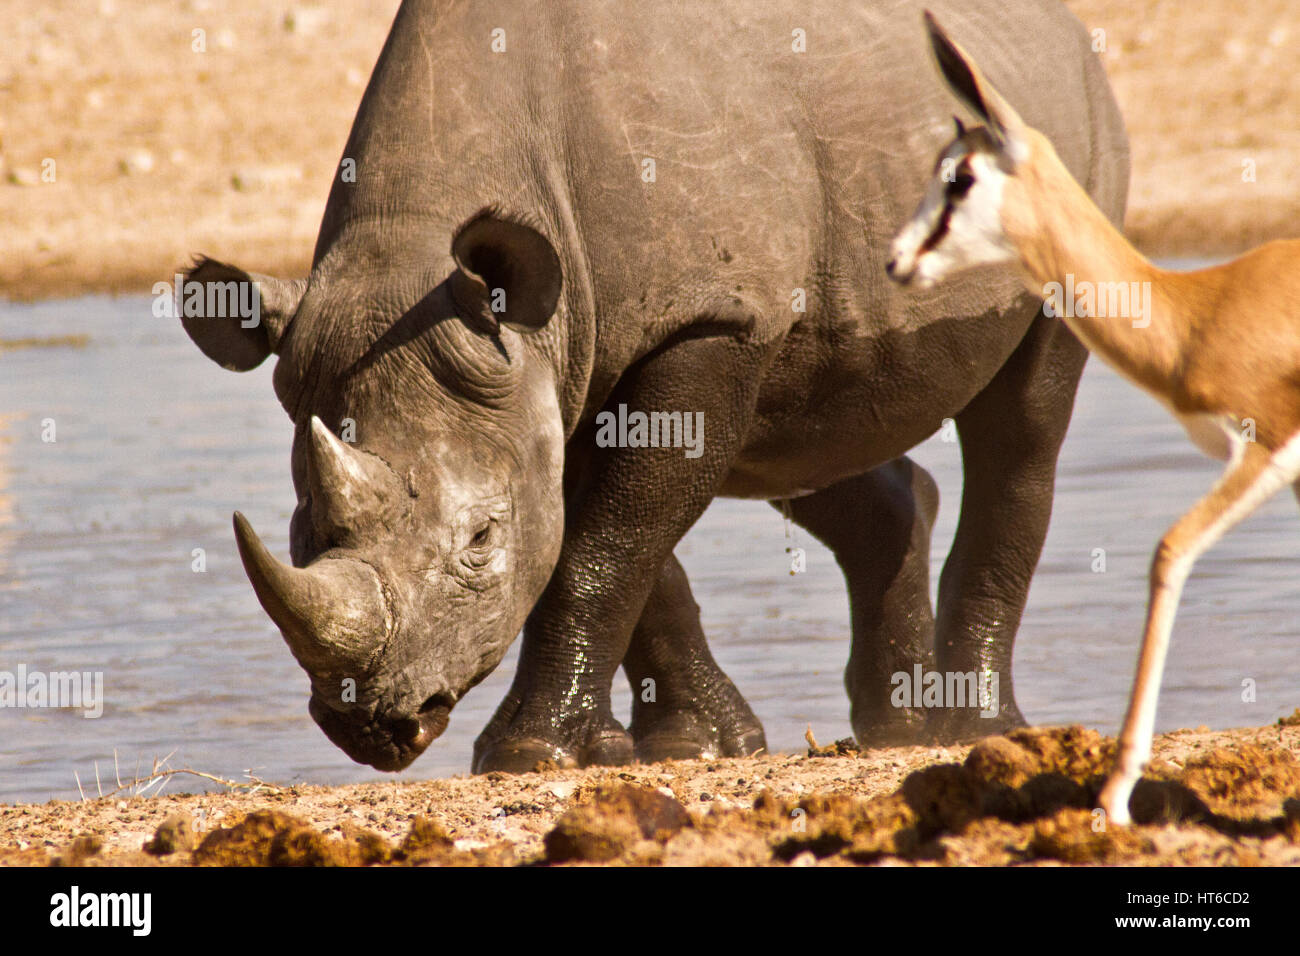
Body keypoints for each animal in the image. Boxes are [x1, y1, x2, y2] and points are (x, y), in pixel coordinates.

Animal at [180, 0, 1129, 773]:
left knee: (1024, 422)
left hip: (1078, 151)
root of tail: (1066, 32)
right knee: (807, 431)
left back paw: (975, 729)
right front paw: (685, 746)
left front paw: (527, 755)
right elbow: (614, 543)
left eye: (482, 539)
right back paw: (901, 727)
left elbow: (608, 543)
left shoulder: (705, 321)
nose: (371, 728)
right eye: (301, 530)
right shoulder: (558, 358)